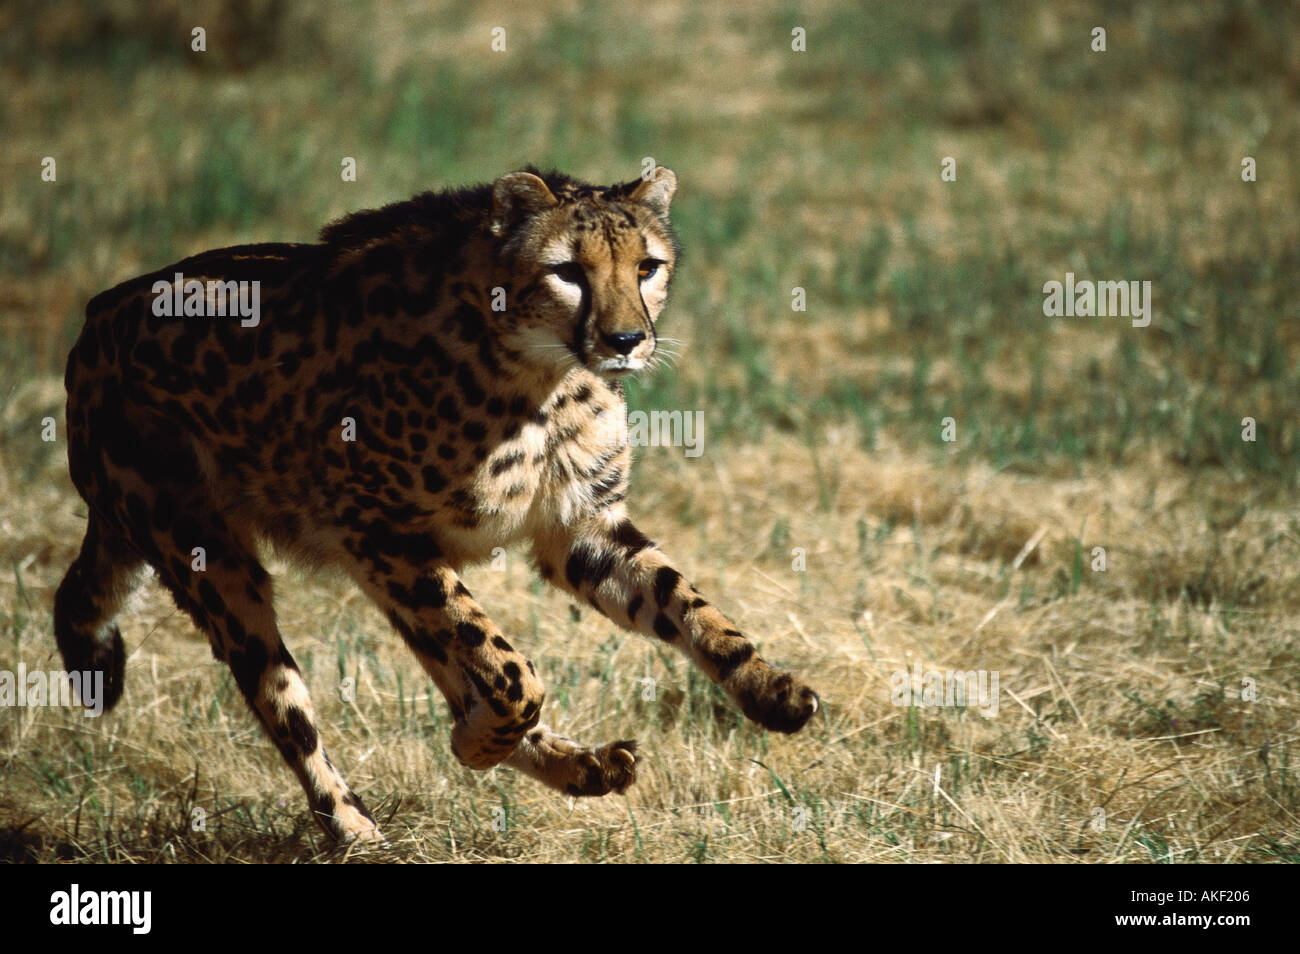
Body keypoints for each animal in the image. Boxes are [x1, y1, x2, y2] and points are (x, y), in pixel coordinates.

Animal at [54, 165, 820, 843]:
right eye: (569, 270)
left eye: (647, 266)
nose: (627, 340)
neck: (540, 372)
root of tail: (97, 311)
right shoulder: (377, 531)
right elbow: (513, 672)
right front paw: (475, 742)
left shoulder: (578, 531)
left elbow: (685, 605)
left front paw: (769, 688)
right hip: (211, 559)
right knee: (283, 702)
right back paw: (355, 826)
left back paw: (578, 765)